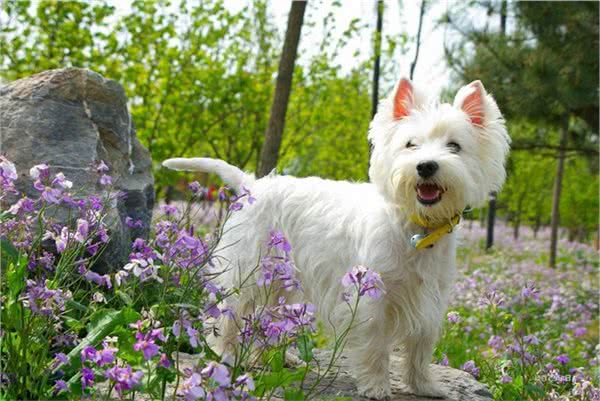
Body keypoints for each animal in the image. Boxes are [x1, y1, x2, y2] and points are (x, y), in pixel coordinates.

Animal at [164, 77, 510, 396]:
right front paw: (376, 386)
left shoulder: (429, 299)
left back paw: (277, 358)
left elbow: (420, 347)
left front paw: (424, 385)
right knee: (228, 315)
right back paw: (225, 356)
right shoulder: (371, 296)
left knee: (268, 316)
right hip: (246, 269)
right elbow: (376, 346)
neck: (415, 227)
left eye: (454, 146)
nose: (425, 166)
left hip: (279, 280)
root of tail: (251, 185)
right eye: (411, 144)